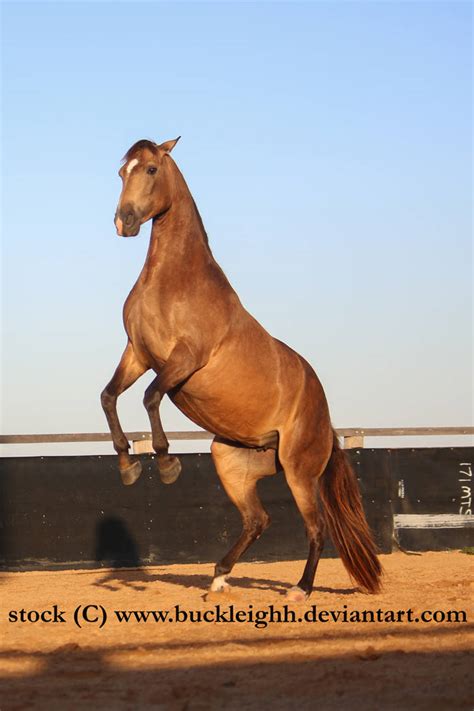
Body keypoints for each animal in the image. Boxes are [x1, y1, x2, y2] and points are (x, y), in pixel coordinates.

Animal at [101, 137, 382, 601]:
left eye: (151, 169)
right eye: (122, 172)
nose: (124, 222)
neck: (174, 282)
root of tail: (326, 422)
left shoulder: (185, 359)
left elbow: (150, 396)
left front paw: (166, 464)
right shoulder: (137, 354)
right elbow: (109, 397)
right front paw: (127, 467)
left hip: (300, 472)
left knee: (316, 528)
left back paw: (300, 590)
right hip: (231, 461)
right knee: (257, 520)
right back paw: (218, 578)